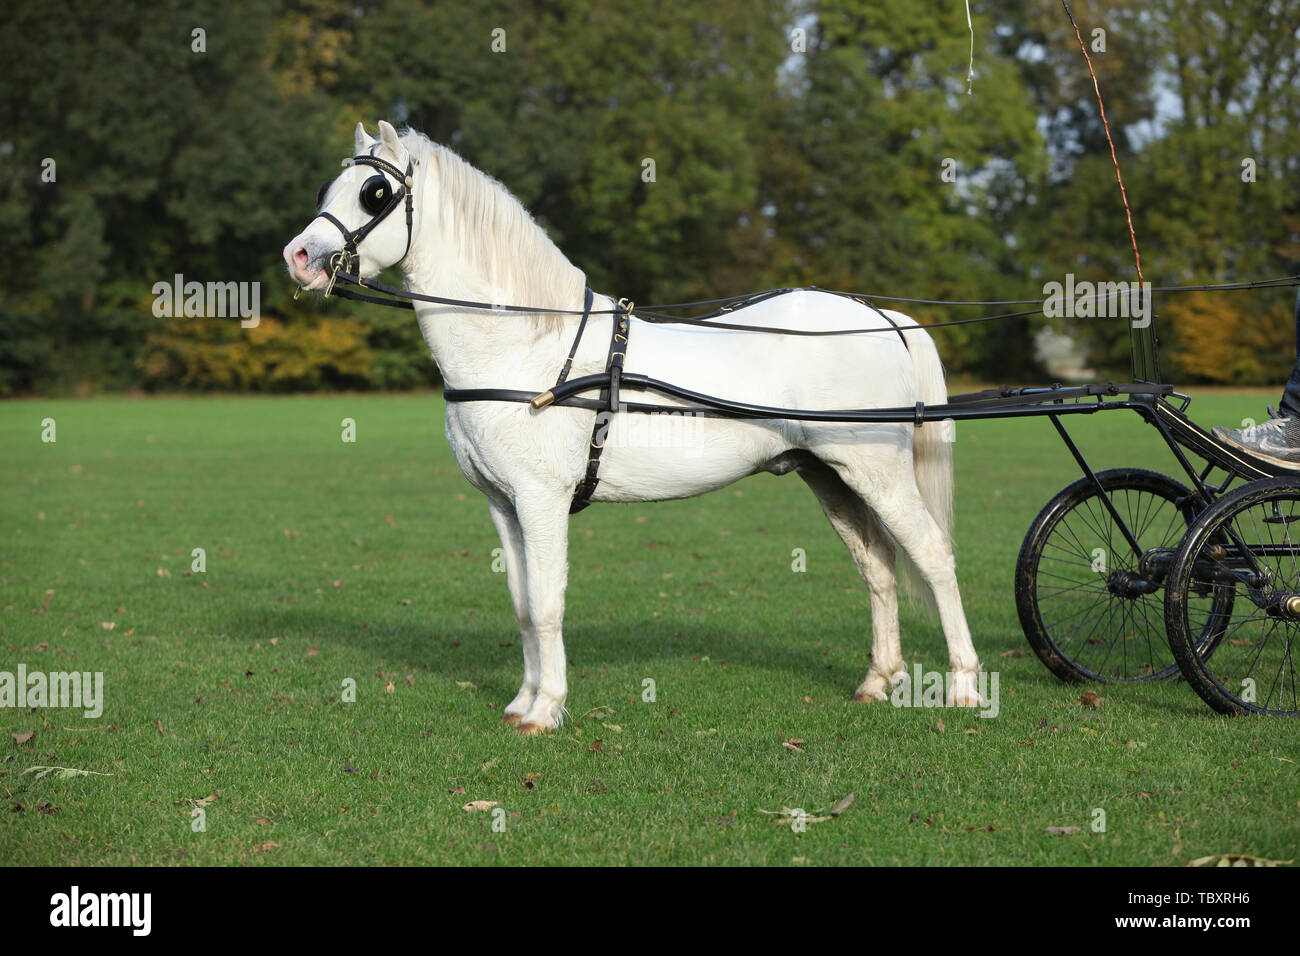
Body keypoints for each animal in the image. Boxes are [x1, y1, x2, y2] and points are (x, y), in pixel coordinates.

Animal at [283, 120, 983, 733]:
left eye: (376, 192)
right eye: (326, 188)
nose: (300, 257)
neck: (526, 346)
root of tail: (880, 315)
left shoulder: (540, 500)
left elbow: (548, 603)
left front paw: (546, 712)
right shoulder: (503, 505)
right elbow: (522, 605)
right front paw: (521, 702)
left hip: (877, 471)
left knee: (933, 556)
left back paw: (964, 687)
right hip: (829, 474)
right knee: (878, 565)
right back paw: (878, 681)